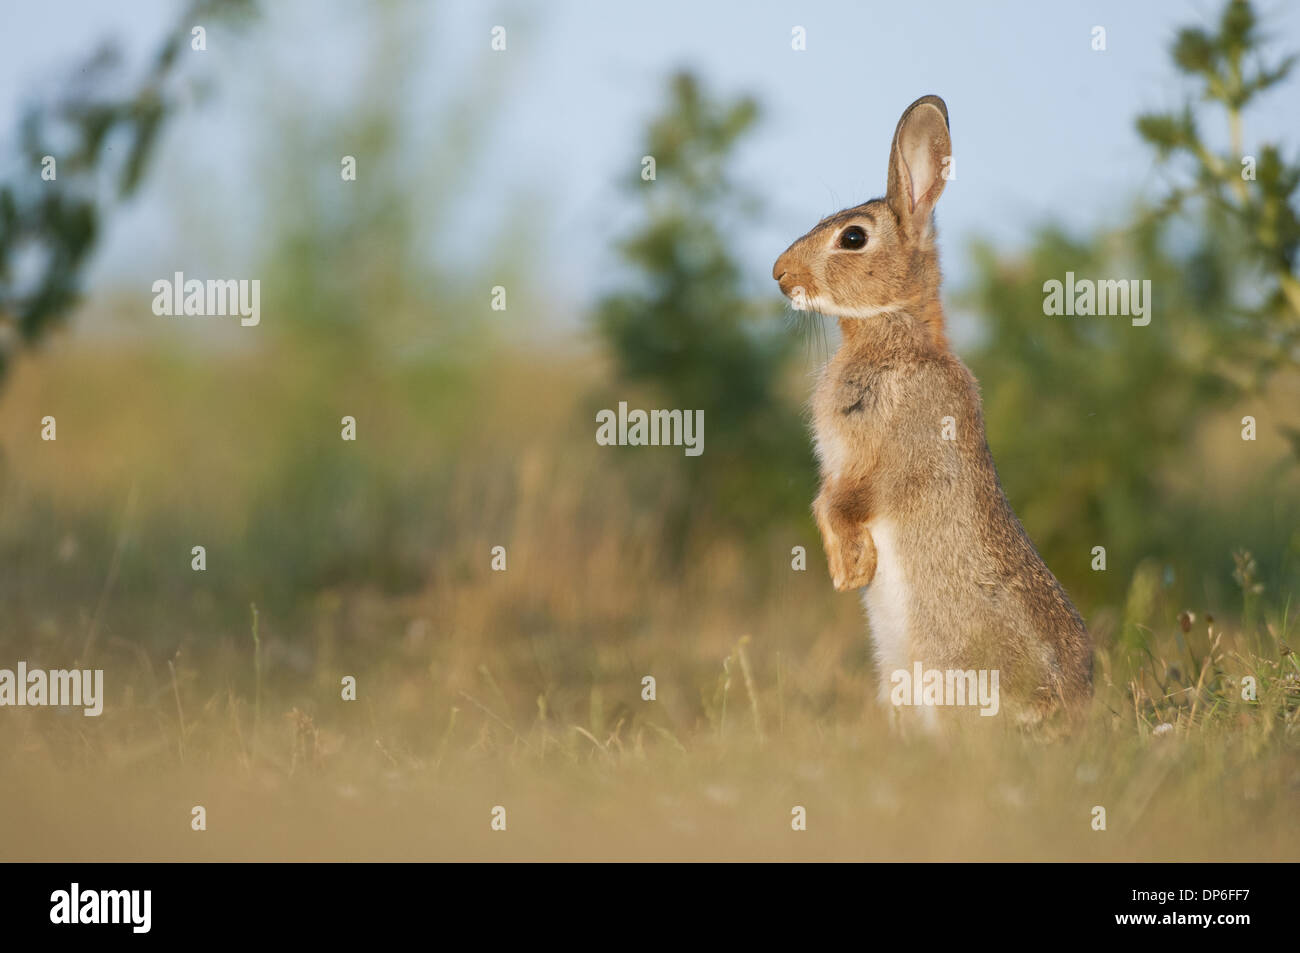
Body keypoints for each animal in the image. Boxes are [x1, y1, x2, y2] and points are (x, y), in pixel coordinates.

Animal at [771, 95, 1091, 727]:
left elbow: (841, 504)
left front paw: (849, 572)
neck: (894, 332)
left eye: (852, 238)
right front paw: (852, 572)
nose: (779, 275)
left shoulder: (881, 460)